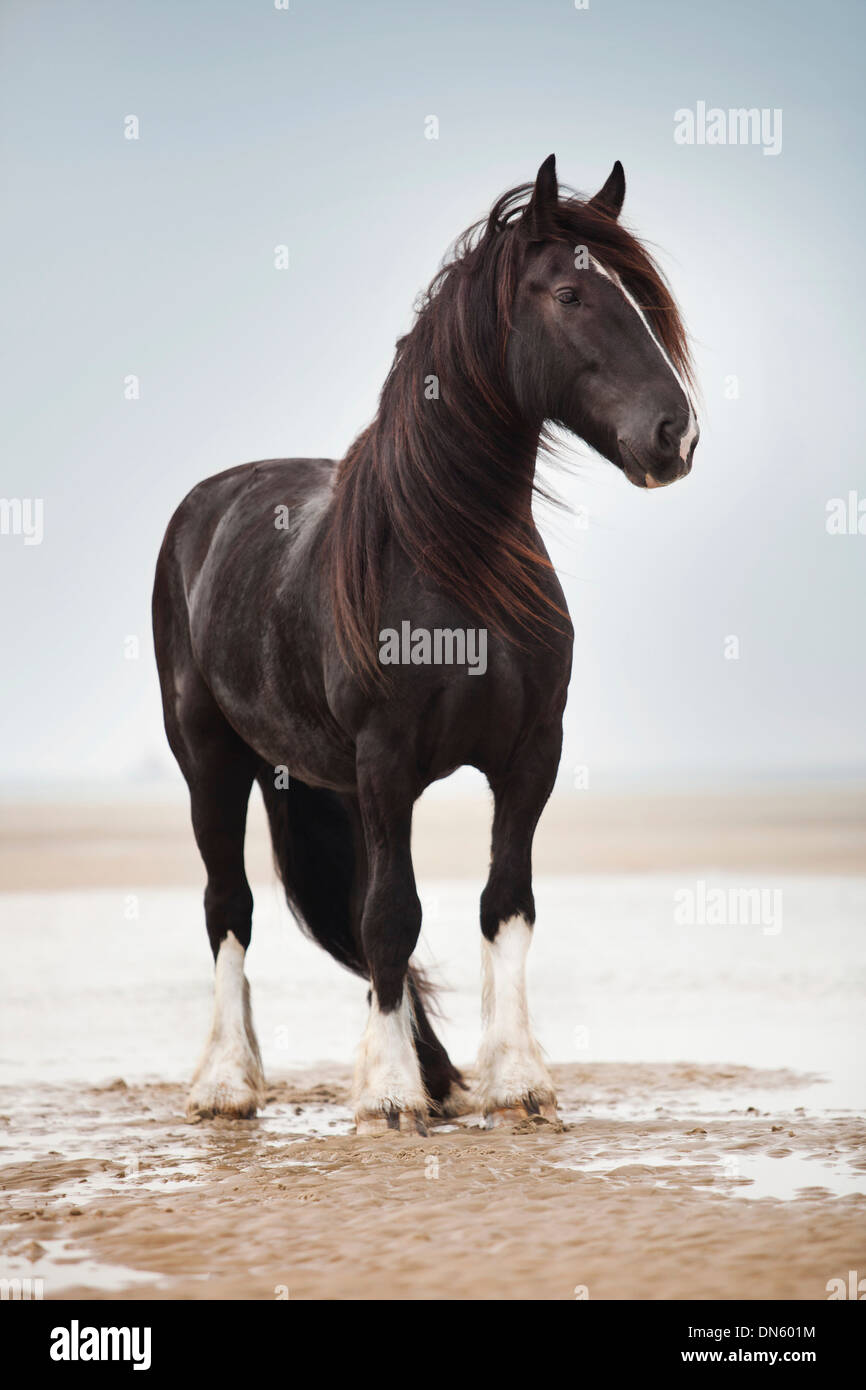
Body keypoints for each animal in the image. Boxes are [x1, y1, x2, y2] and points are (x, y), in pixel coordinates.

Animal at [152, 154, 698, 1135]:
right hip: (211, 761)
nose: (676, 435)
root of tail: (203, 506)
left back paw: (429, 1072)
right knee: (230, 907)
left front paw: (515, 1082)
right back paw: (228, 1082)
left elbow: (500, 903)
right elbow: (389, 916)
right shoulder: (386, 759)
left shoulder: (529, 755)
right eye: (570, 294)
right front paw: (391, 1096)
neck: (451, 562)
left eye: (637, 298)